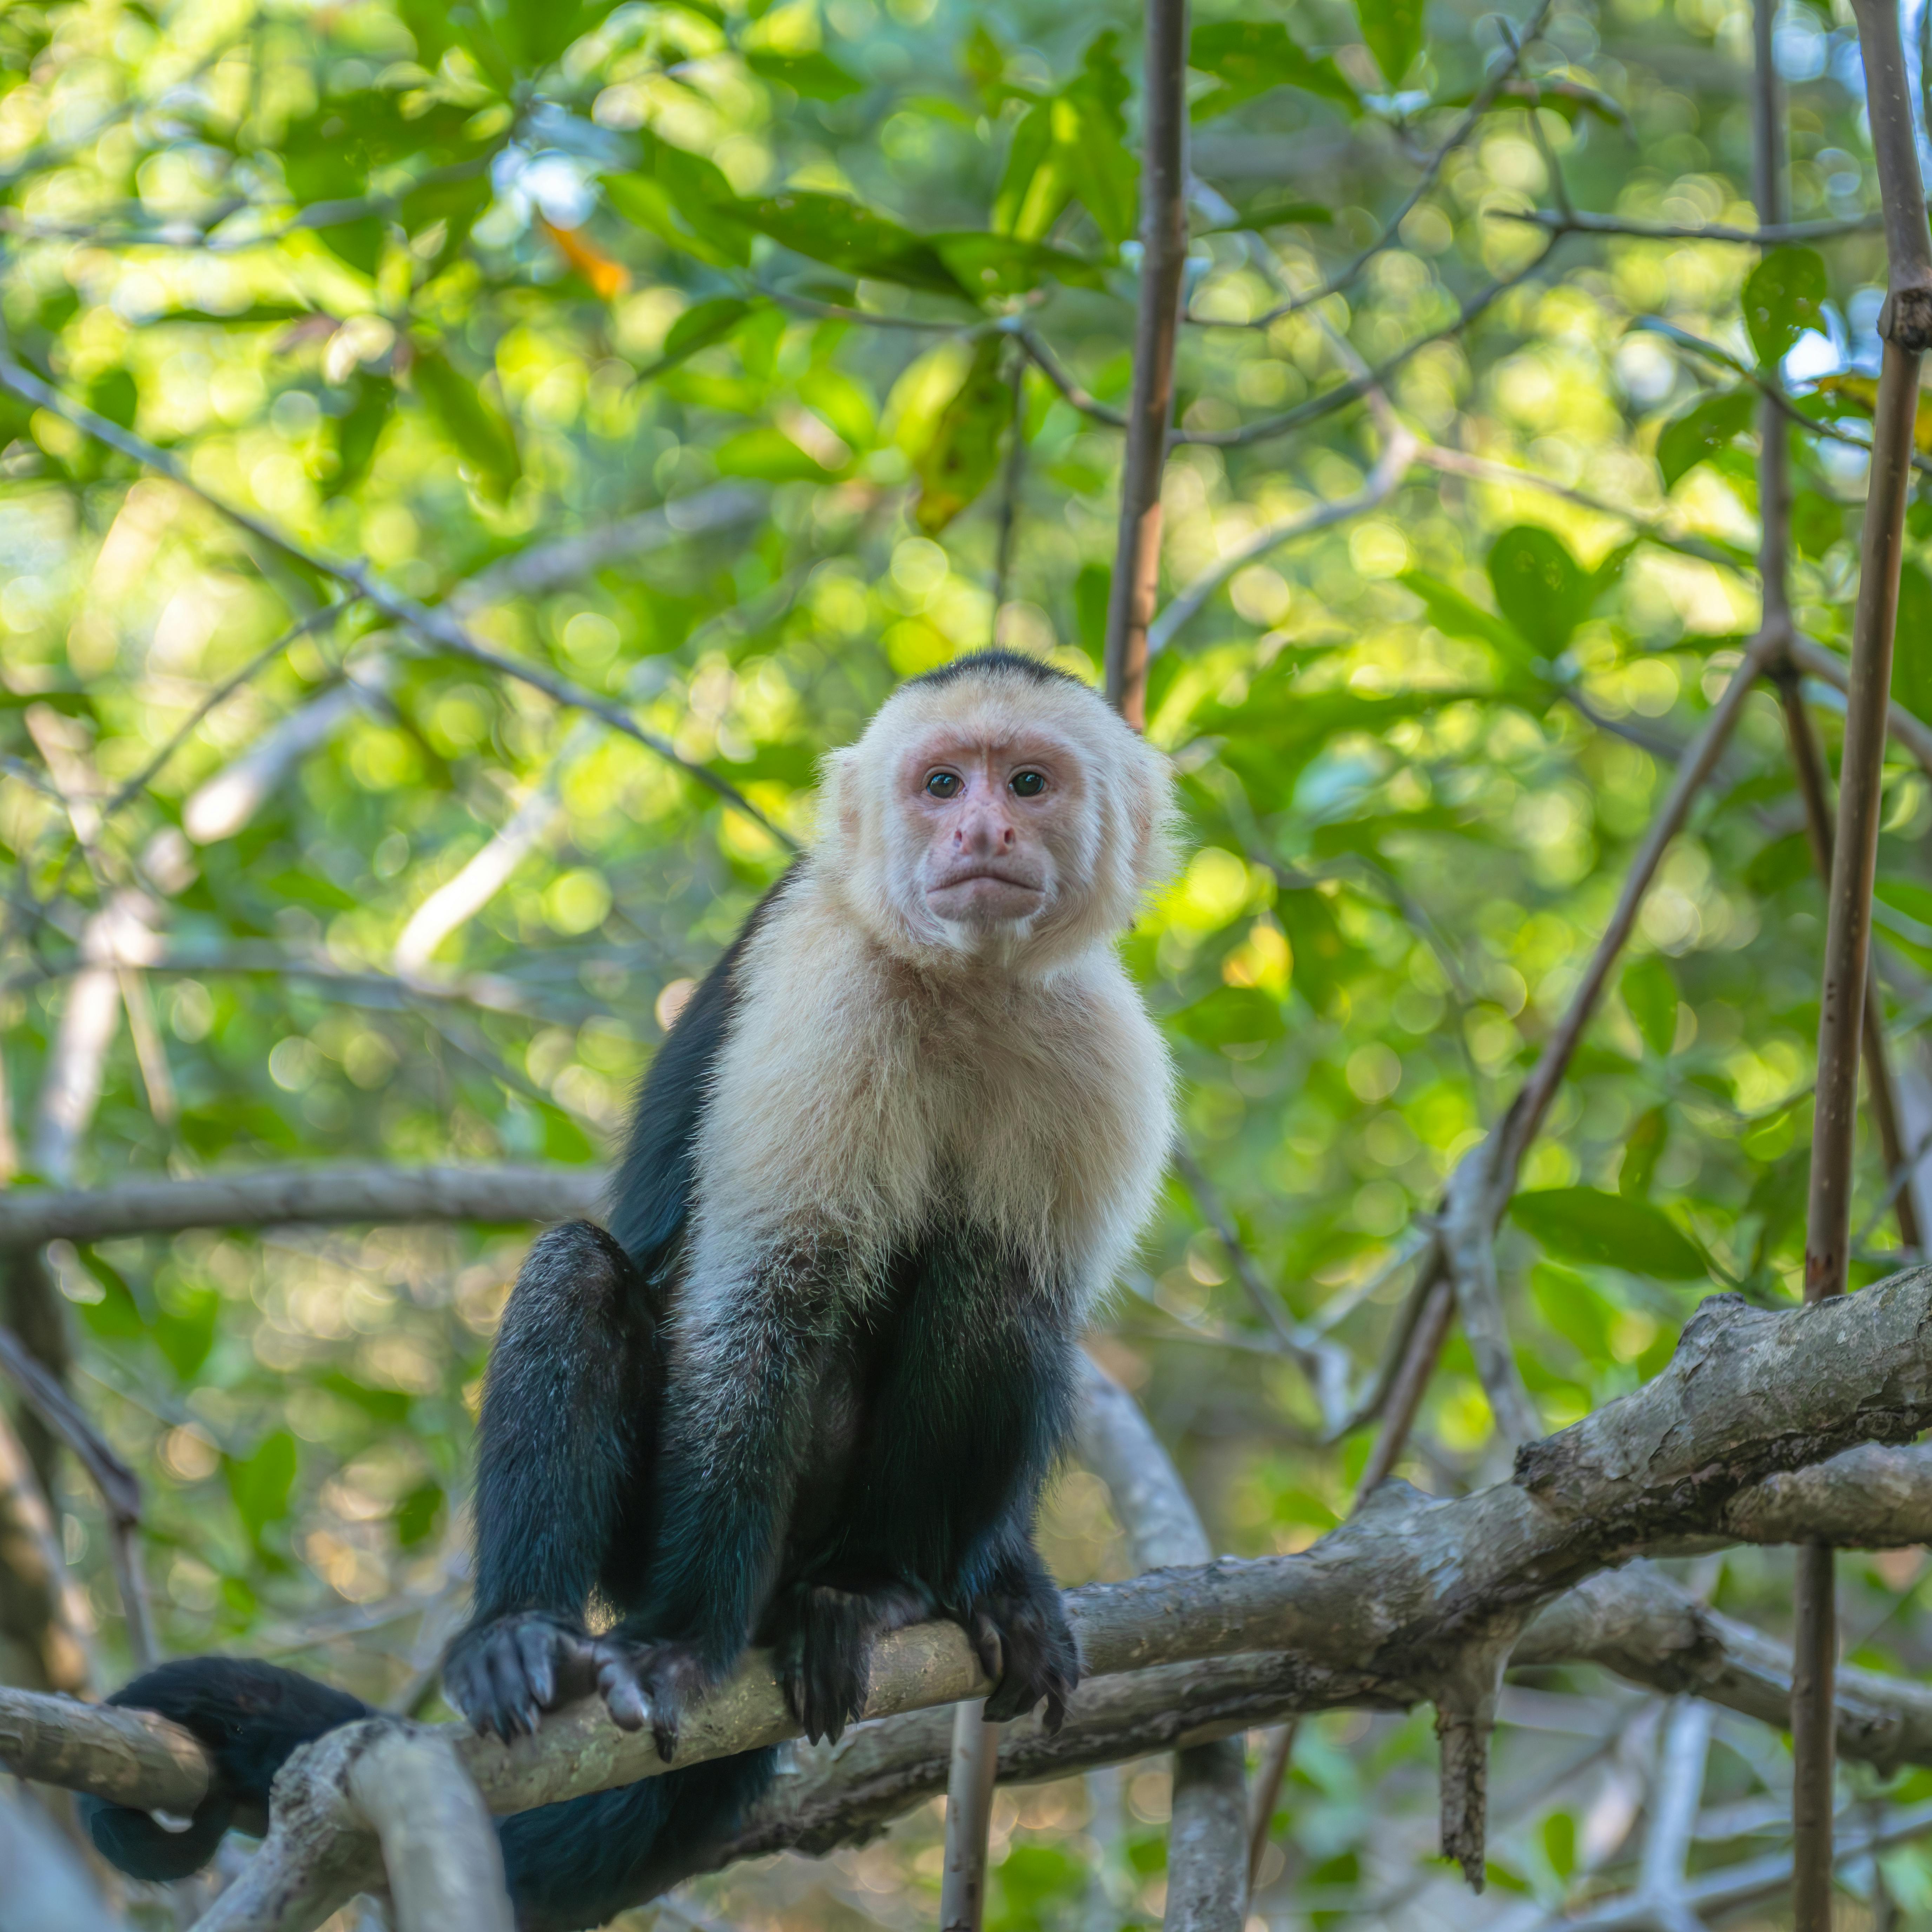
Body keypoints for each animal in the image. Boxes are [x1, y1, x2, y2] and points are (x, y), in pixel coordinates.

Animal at [84, 650, 1177, 1932]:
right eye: (943, 782)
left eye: (1030, 782)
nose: (985, 828)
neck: (961, 981)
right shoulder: (822, 991)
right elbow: (765, 1300)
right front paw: (683, 1649)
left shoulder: (1097, 1038)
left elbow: (1022, 1292)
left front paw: (982, 1582)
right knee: (581, 1273)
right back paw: (526, 1636)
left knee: (996, 1294)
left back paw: (880, 1588)